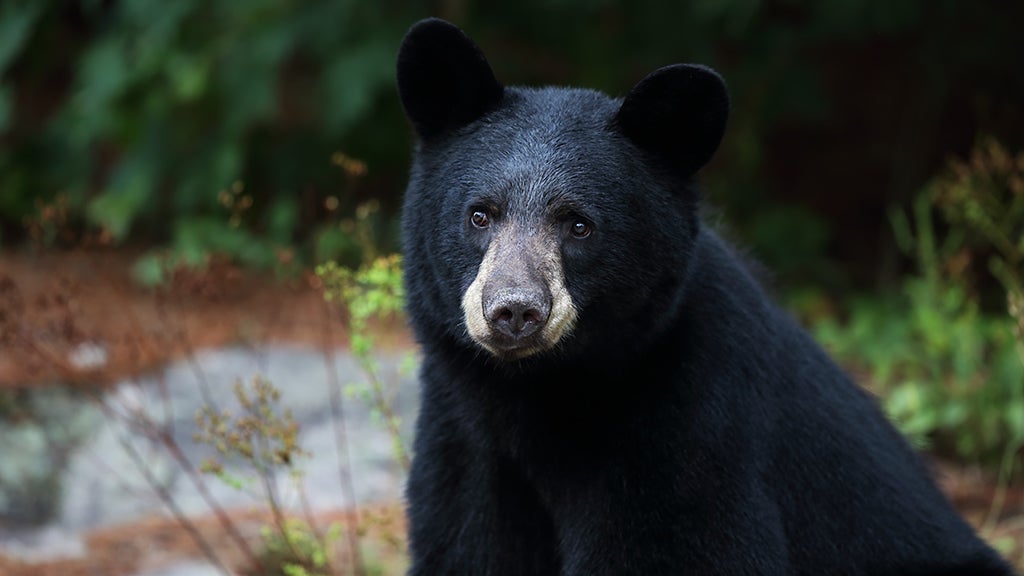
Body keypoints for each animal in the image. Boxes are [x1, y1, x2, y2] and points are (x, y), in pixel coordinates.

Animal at [396, 17, 1016, 576]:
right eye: (480, 214)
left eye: (579, 225)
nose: (515, 310)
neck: (540, 396)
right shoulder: (465, 448)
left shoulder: (691, 427)